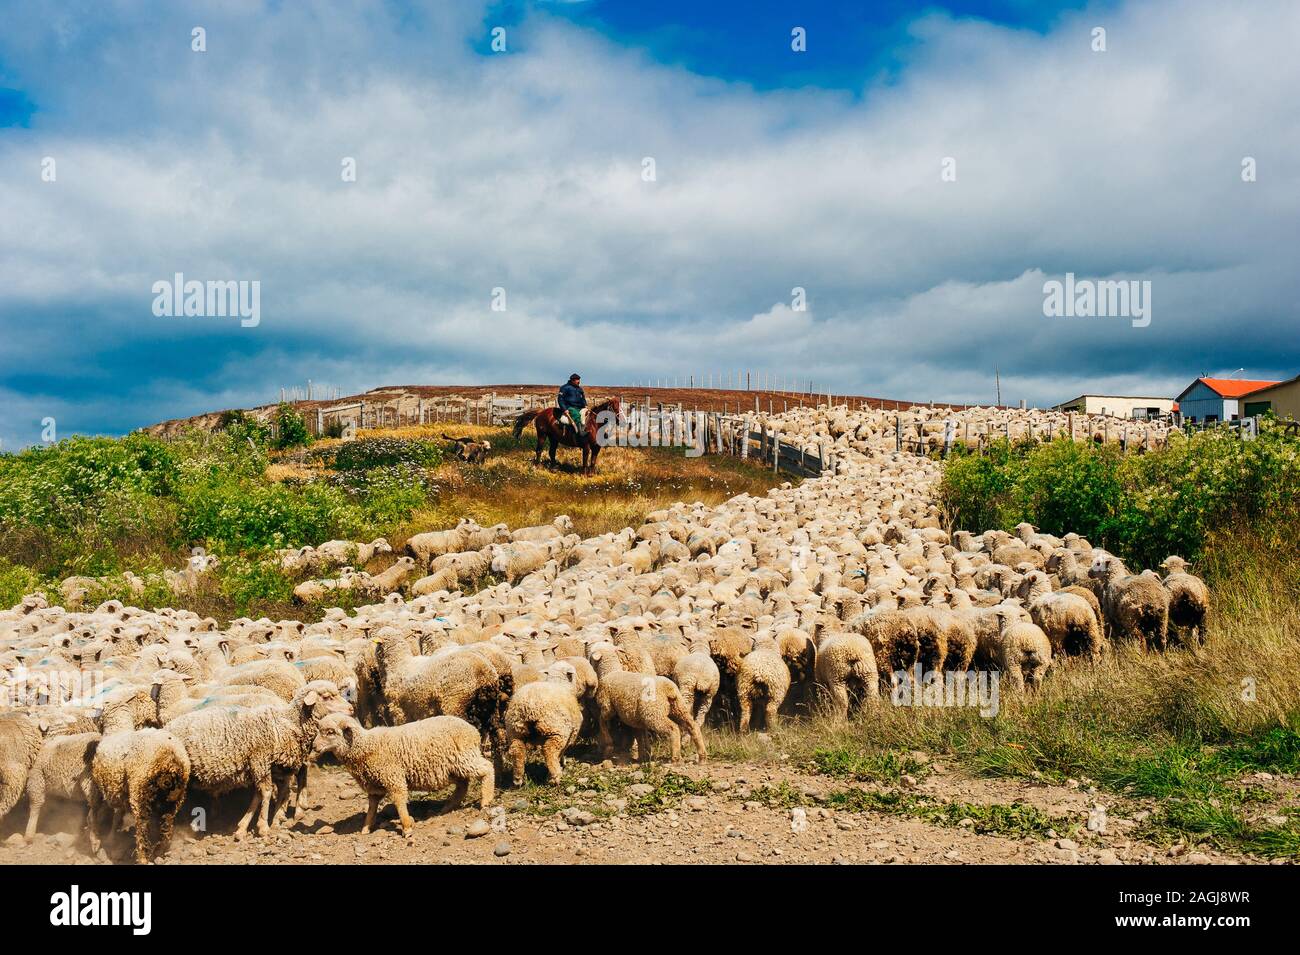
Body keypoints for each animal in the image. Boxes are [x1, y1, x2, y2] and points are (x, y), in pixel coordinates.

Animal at [312, 713, 494, 837]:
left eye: (330, 732)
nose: (314, 747)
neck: (365, 746)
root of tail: (474, 731)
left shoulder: (393, 777)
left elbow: (399, 801)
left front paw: (406, 827)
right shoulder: (374, 785)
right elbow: (371, 807)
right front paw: (366, 828)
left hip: (464, 757)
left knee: (487, 768)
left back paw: (486, 800)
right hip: (452, 767)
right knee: (463, 785)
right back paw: (447, 807)